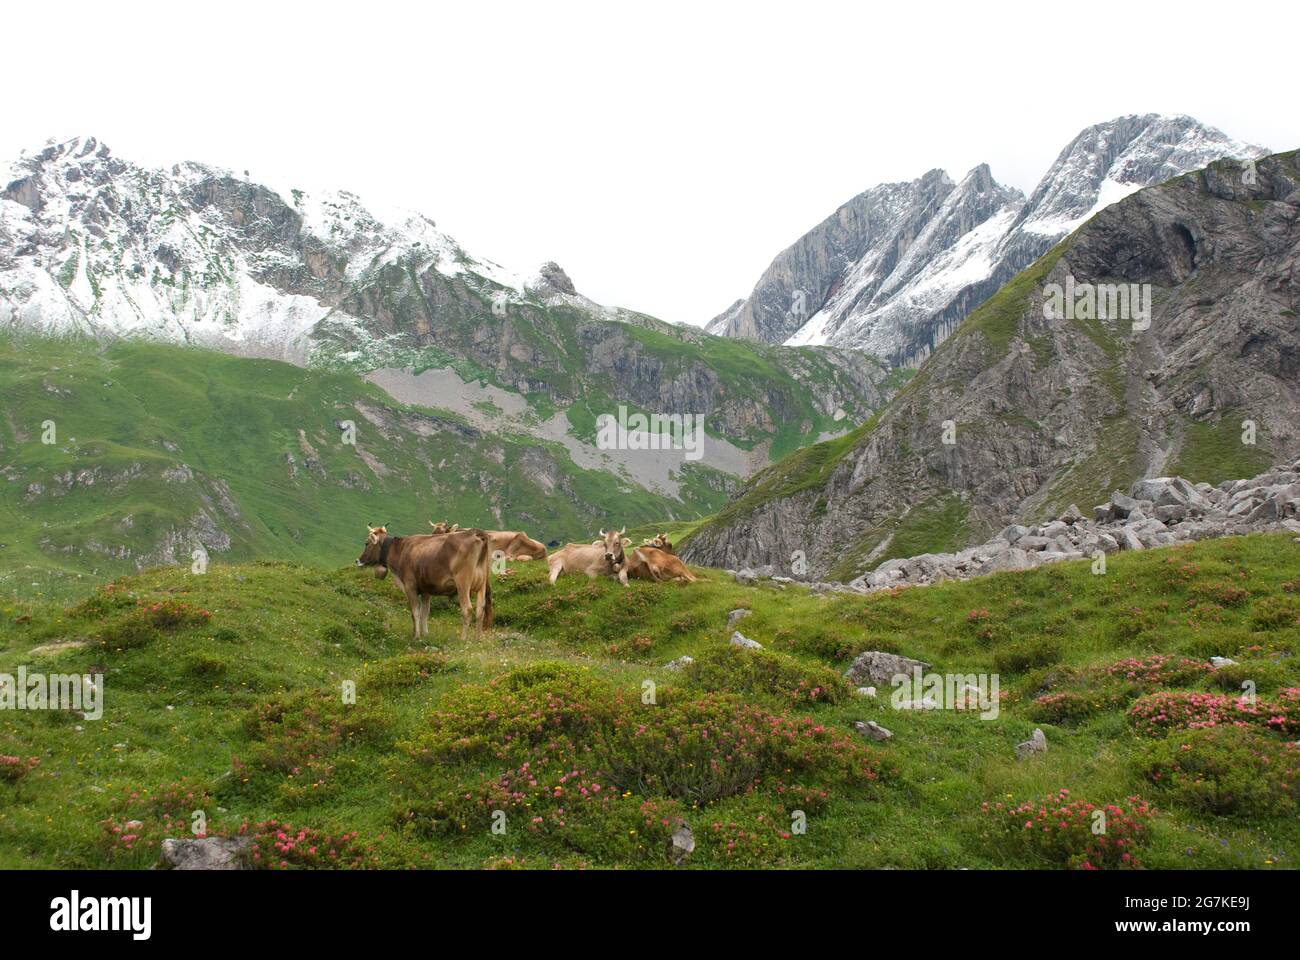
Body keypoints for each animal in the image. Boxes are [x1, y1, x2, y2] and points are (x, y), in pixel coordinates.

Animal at [355, 524, 493, 642]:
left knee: (467, 609)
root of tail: (475, 532)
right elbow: (425, 613)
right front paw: (425, 634)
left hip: (463, 584)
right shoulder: (426, 590)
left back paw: (463, 639)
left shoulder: (410, 586)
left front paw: (416, 636)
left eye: (366, 543)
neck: (400, 550)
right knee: (480, 610)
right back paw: (477, 639)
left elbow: (415, 612)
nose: (357, 560)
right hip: (481, 585)